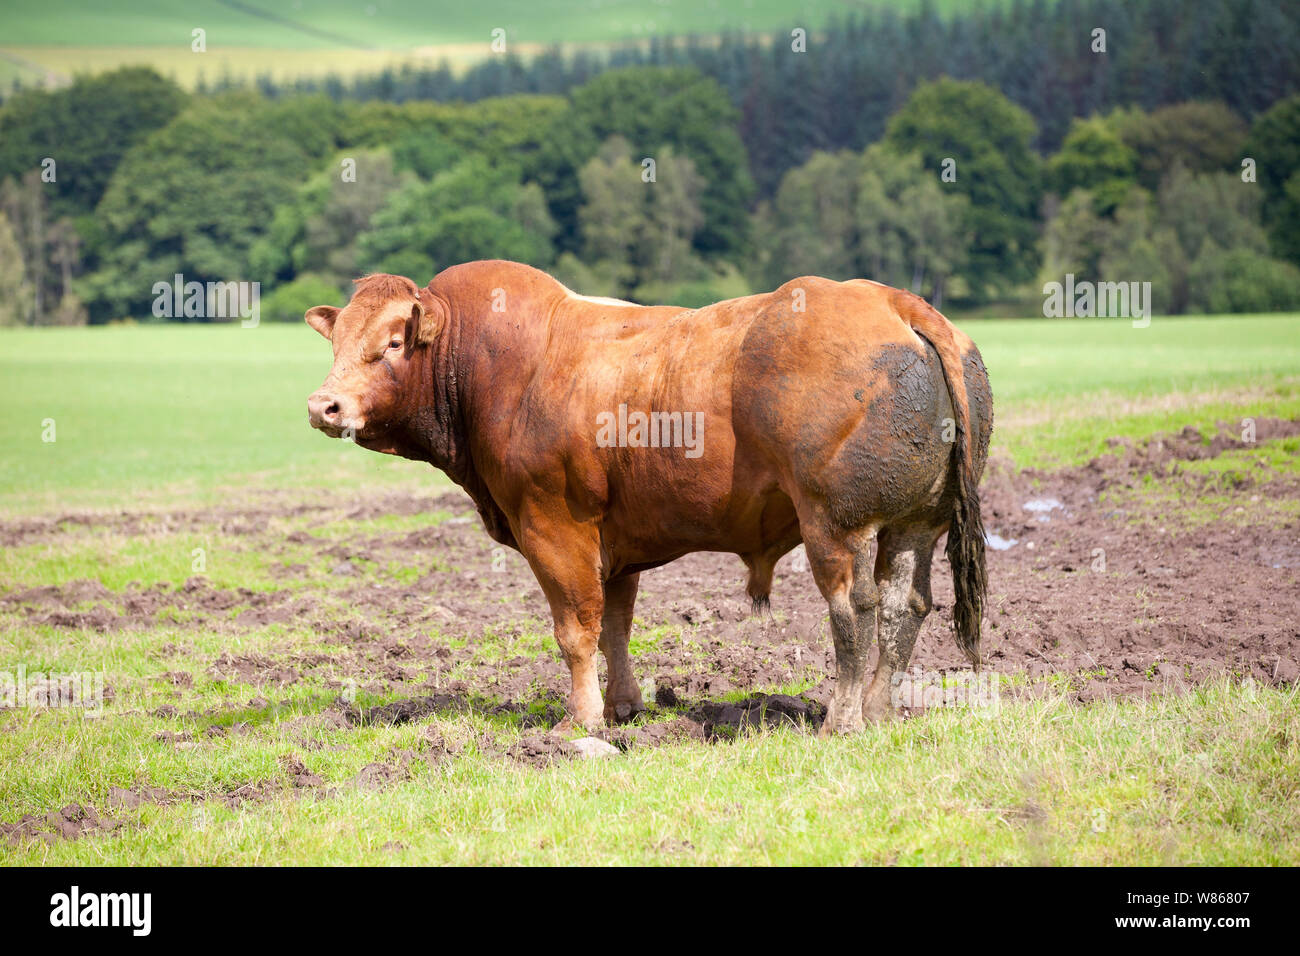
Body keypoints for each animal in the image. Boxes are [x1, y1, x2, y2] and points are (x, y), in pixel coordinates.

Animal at [305, 261, 992, 735]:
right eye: (336, 342)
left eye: (393, 343)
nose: (323, 405)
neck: (494, 365)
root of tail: (892, 300)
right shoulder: (616, 544)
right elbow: (615, 626)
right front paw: (624, 707)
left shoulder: (555, 528)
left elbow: (575, 629)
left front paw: (579, 722)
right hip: (914, 525)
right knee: (906, 606)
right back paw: (878, 710)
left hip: (835, 525)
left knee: (856, 610)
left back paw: (842, 718)